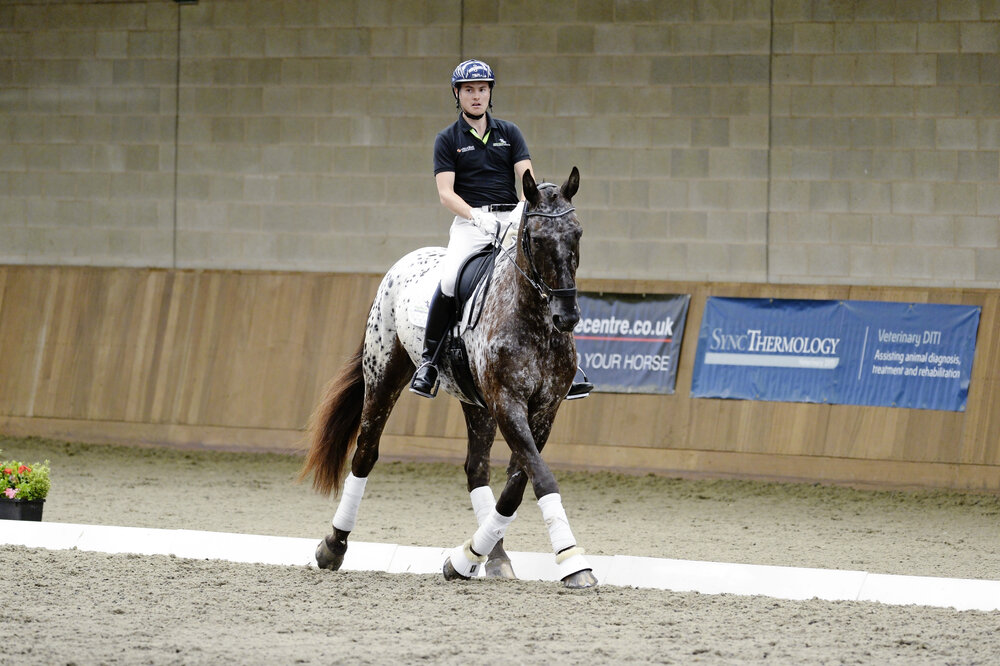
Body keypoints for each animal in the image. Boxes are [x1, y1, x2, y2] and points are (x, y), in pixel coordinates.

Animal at [300, 167, 597, 589]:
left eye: (577, 233)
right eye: (537, 238)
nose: (566, 316)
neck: (533, 319)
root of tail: (405, 261)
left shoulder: (544, 409)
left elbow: (517, 484)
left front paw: (465, 558)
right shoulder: (507, 402)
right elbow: (540, 477)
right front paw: (574, 562)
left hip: (476, 404)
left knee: (476, 471)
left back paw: (490, 559)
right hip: (384, 375)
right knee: (366, 452)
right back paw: (333, 546)